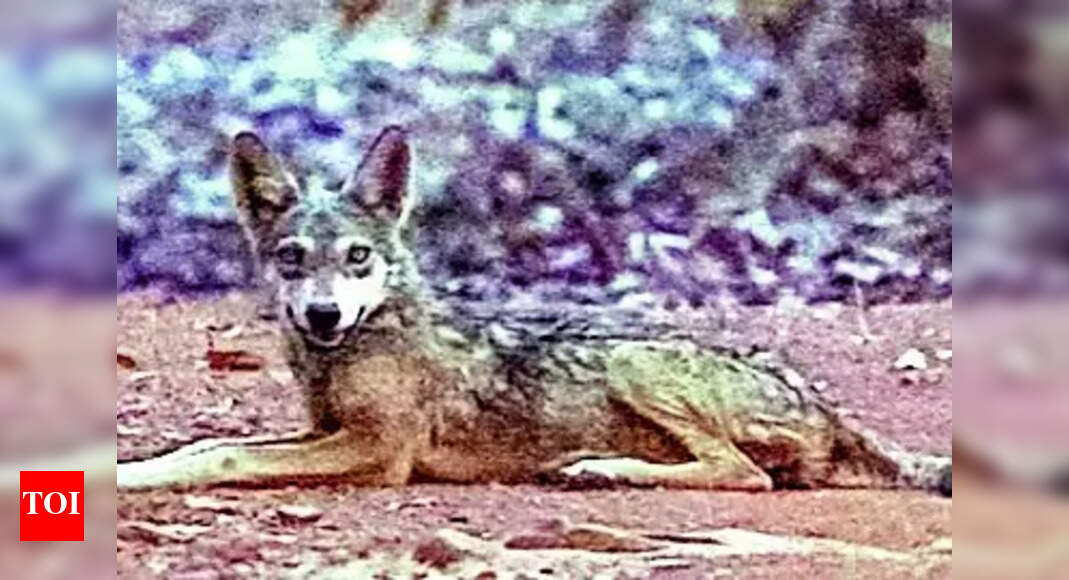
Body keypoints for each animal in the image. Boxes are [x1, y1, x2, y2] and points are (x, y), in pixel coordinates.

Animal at [117, 126, 951, 496]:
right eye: (292, 259)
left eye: (357, 258)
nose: (322, 315)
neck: (351, 350)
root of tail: (827, 408)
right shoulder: (324, 430)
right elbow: (208, 443)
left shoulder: (377, 454)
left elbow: (227, 454)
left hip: (632, 359)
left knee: (744, 475)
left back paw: (600, 469)